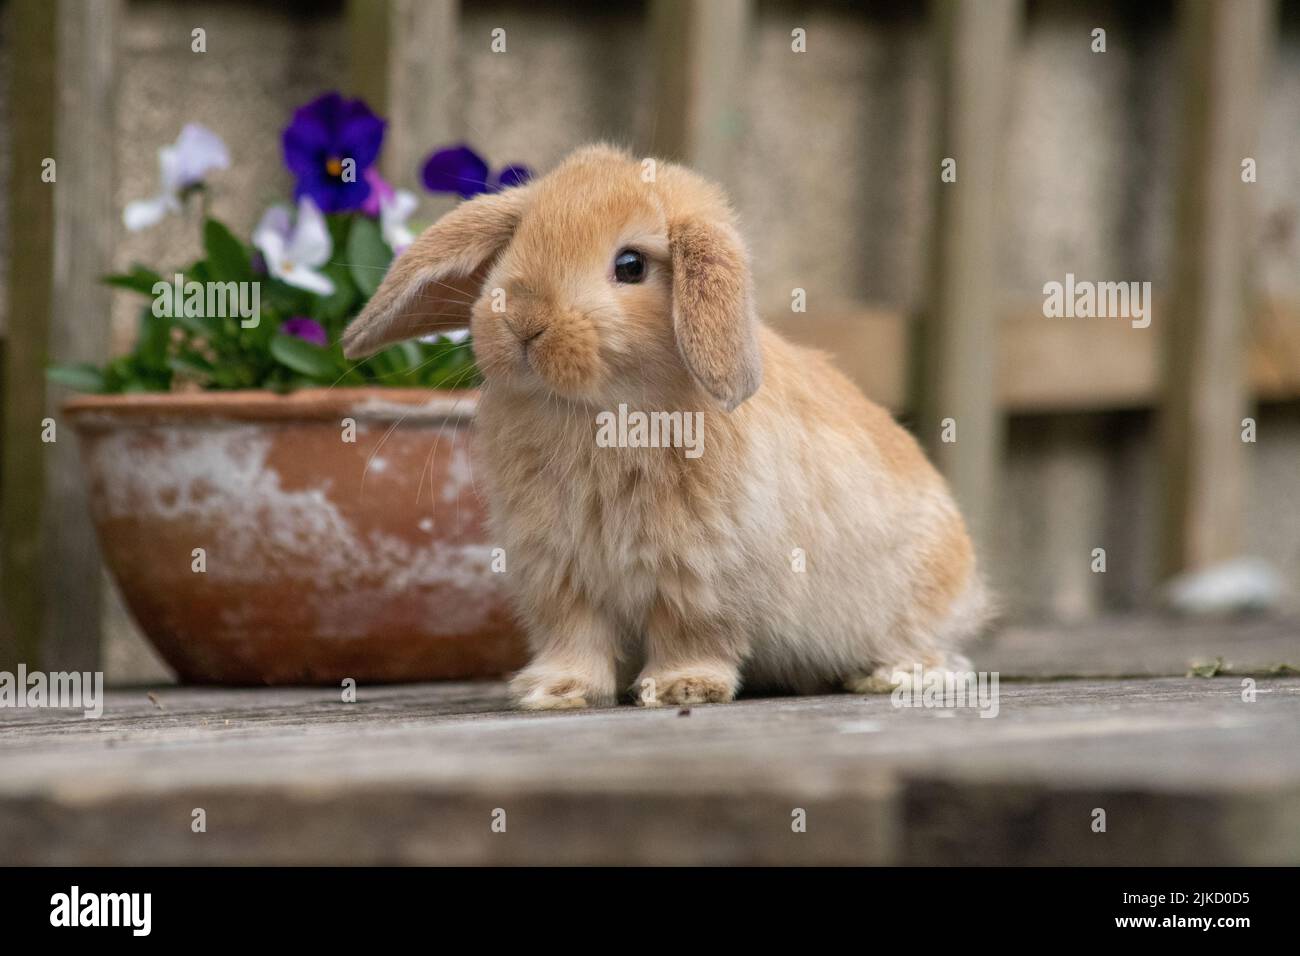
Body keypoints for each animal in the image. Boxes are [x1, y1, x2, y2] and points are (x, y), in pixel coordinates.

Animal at [343, 144, 990, 710]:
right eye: (516, 241)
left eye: (630, 265)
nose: (523, 320)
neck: (603, 412)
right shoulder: (558, 573)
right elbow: (574, 636)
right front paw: (554, 691)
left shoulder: (700, 573)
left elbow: (690, 632)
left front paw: (683, 688)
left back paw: (893, 675)